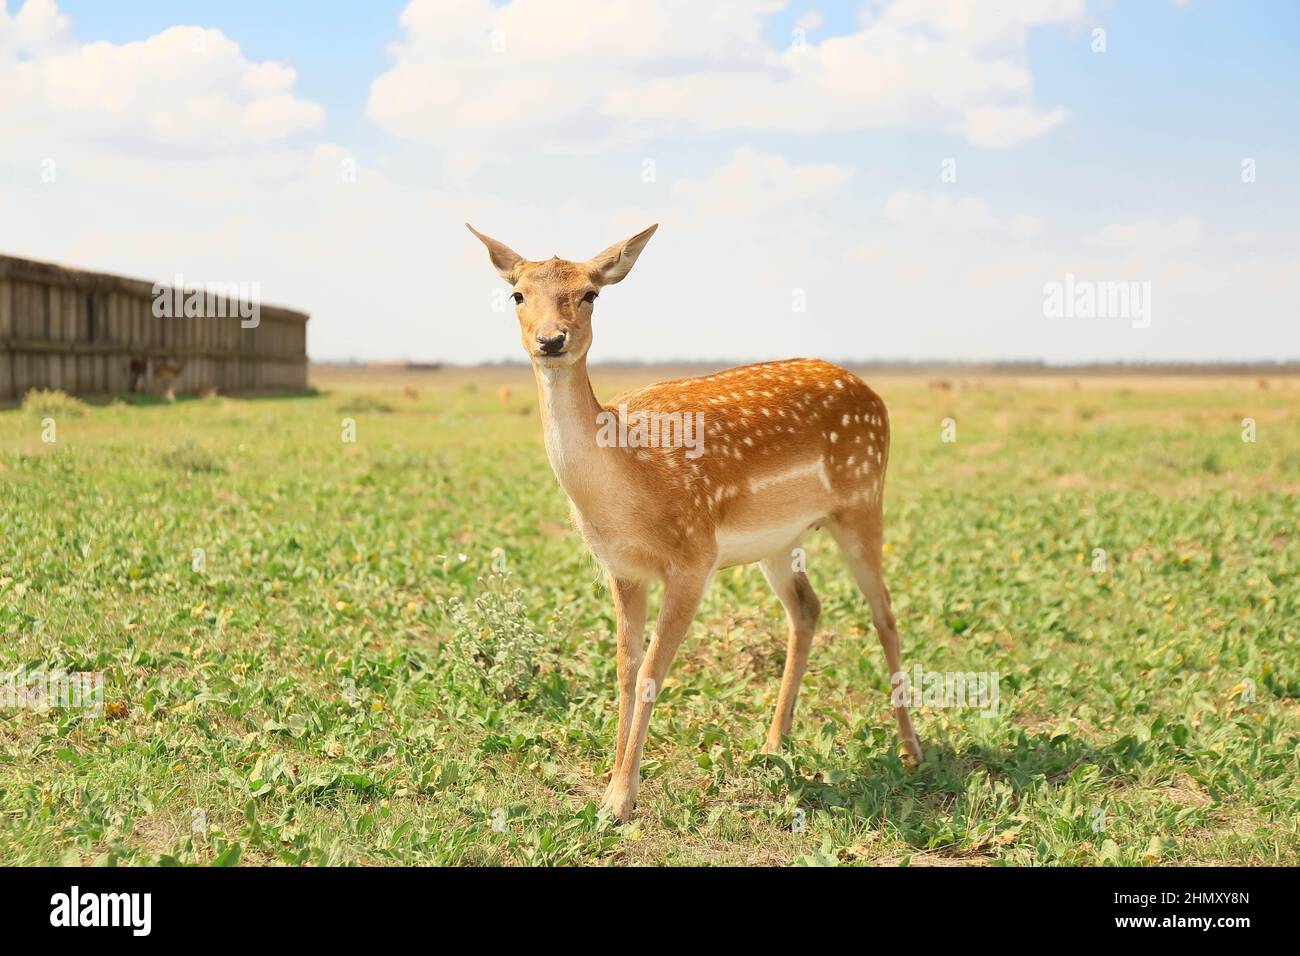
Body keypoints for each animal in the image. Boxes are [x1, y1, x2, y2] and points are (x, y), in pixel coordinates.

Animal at [467, 223, 923, 822]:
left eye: (590, 294)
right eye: (516, 294)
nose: (551, 339)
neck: (630, 483)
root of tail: (875, 396)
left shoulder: (694, 556)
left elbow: (651, 674)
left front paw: (620, 800)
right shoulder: (620, 569)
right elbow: (624, 669)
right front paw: (612, 781)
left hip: (864, 501)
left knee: (885, 613)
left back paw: (911, 749)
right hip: (780, 541)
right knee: (807, 607)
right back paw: (775, 742)